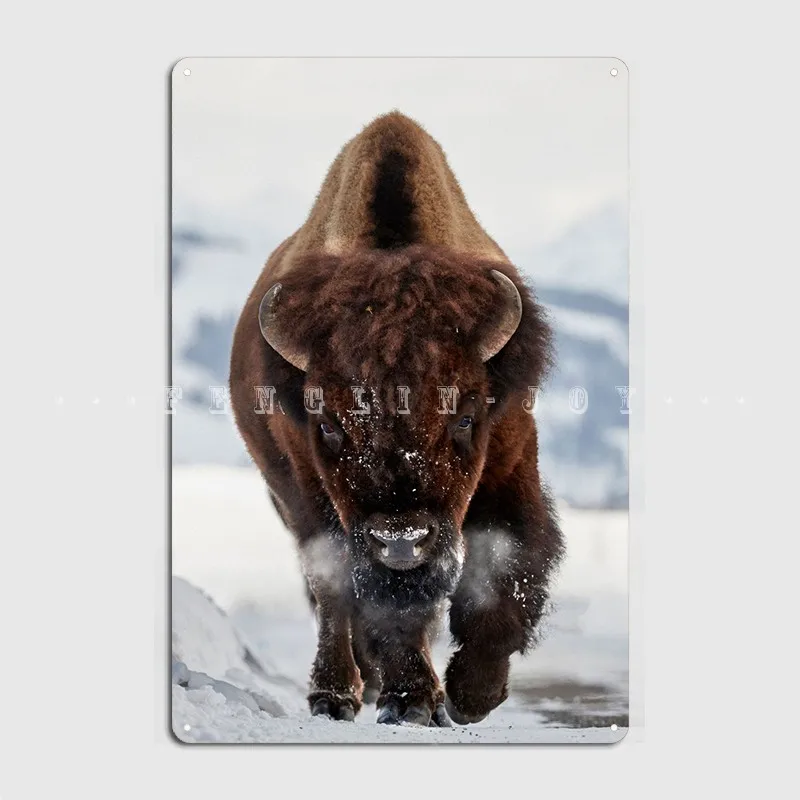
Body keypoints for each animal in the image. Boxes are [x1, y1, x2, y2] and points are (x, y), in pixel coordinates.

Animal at [230, 111, 564, 727]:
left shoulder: (510, 465)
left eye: (465, 417)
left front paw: (472, 695)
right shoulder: (317, 496)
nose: (402, 542)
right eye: (329, 424)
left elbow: (508, 566)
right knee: (332, 593)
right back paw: (337, 694)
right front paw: (412, 700)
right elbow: (371, 600)